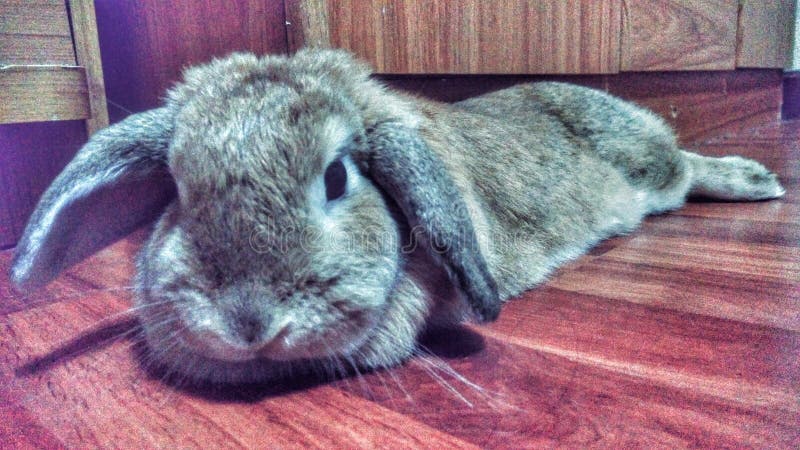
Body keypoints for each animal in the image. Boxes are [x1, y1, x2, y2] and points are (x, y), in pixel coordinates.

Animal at [10, 49, 785, 384]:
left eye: (336, 176)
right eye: (175, 190)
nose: (249, 324)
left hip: (651, 166)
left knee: (686, 168)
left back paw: (757, 180)